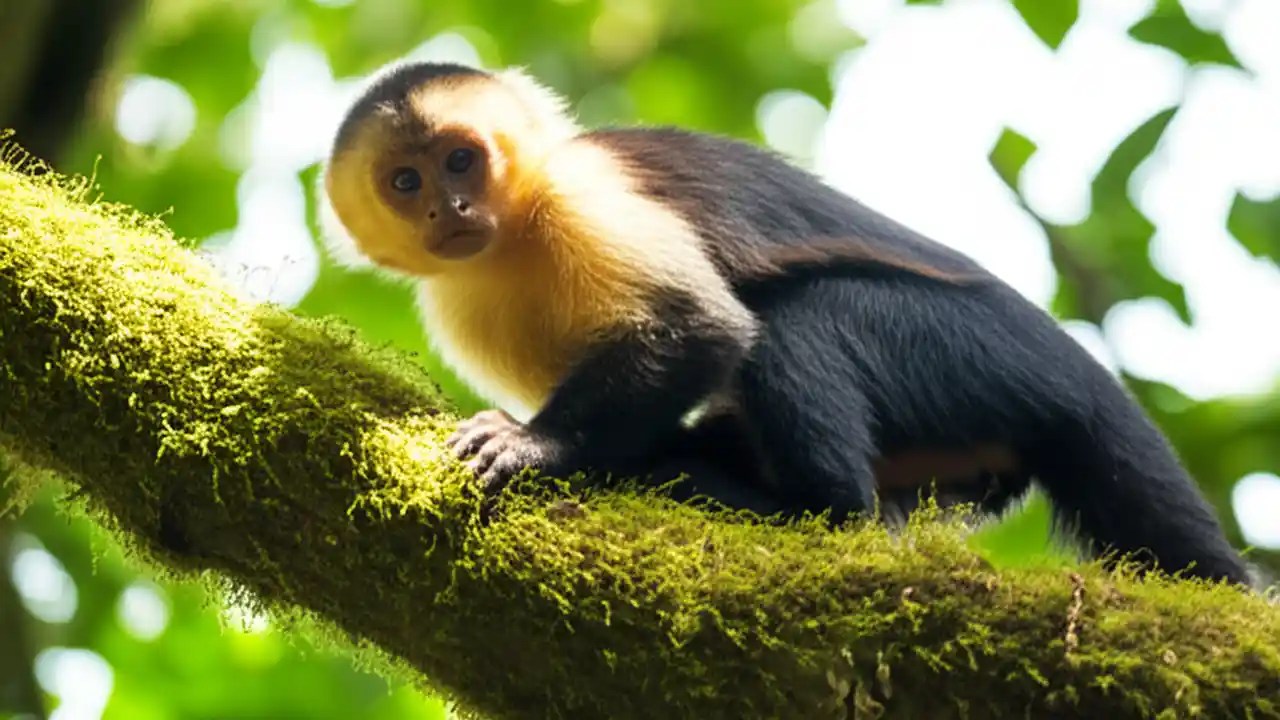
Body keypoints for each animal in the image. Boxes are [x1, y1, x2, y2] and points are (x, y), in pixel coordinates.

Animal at [318, 60, 1251, 586]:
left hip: (979, 352)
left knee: (797, 320)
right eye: (407, 181)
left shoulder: (584, 198)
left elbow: (701, 329)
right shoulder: (462, 301)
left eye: (461, 159)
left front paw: (538, 444)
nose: (449, 208)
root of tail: (1081, 369)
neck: (512, 234)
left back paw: (809, 511)